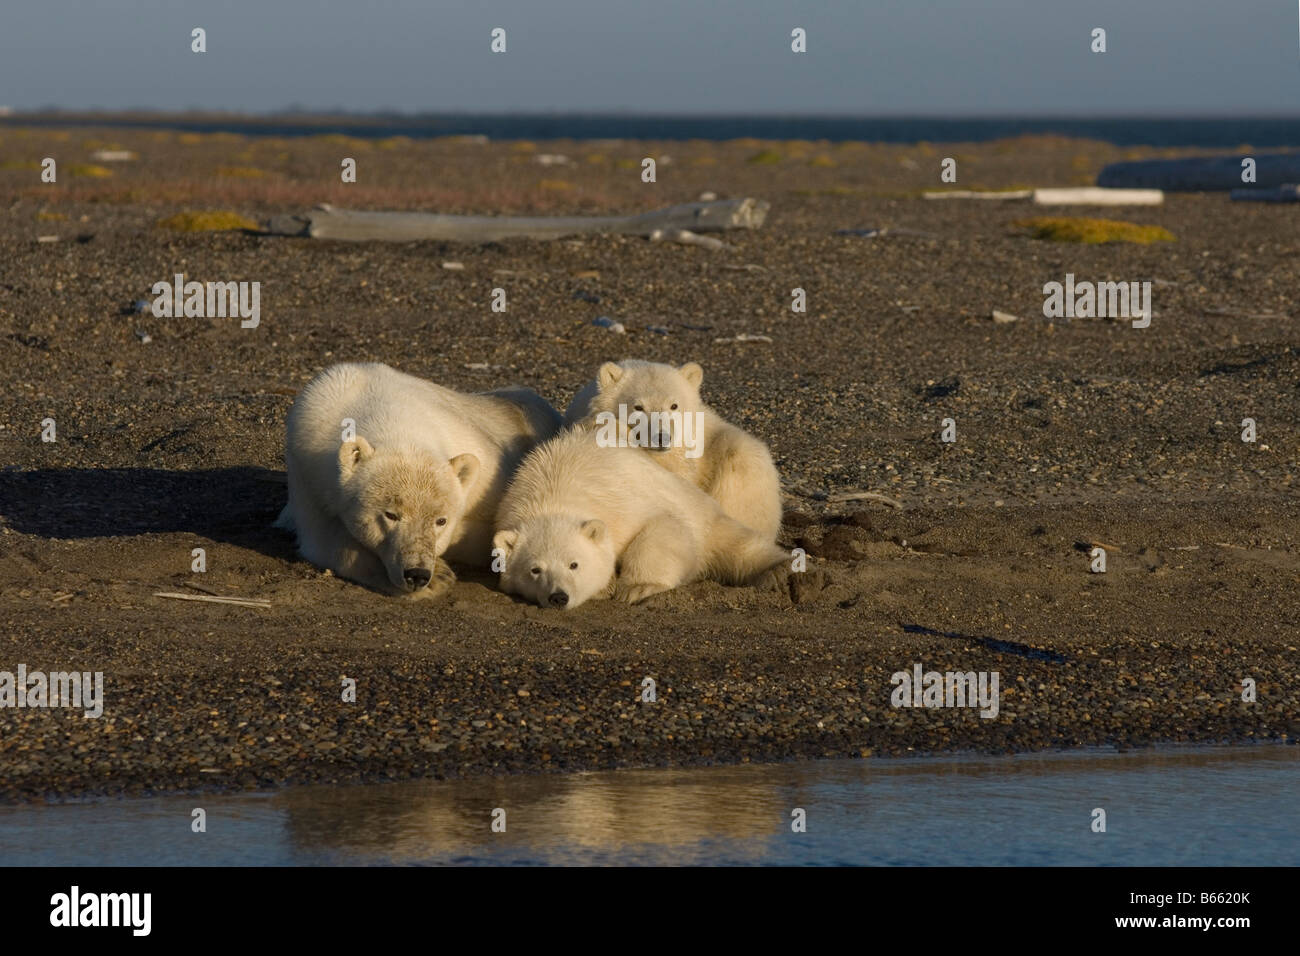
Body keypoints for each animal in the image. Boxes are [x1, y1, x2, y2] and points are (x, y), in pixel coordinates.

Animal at [275, 362, 562, 598]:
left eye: (440, 521)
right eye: (390, 514)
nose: (417, 574)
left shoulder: (489, 468)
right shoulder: (309, 465)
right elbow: (325, 540)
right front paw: (439, 578)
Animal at [492, 427, 789, 609]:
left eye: (574, 564)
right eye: (535, 569)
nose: (558, 597)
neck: (553, 490)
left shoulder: (623, 504)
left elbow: (666, 527)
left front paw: (636, 587)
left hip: (706, 515)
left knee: (738, 544)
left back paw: (779, 571)